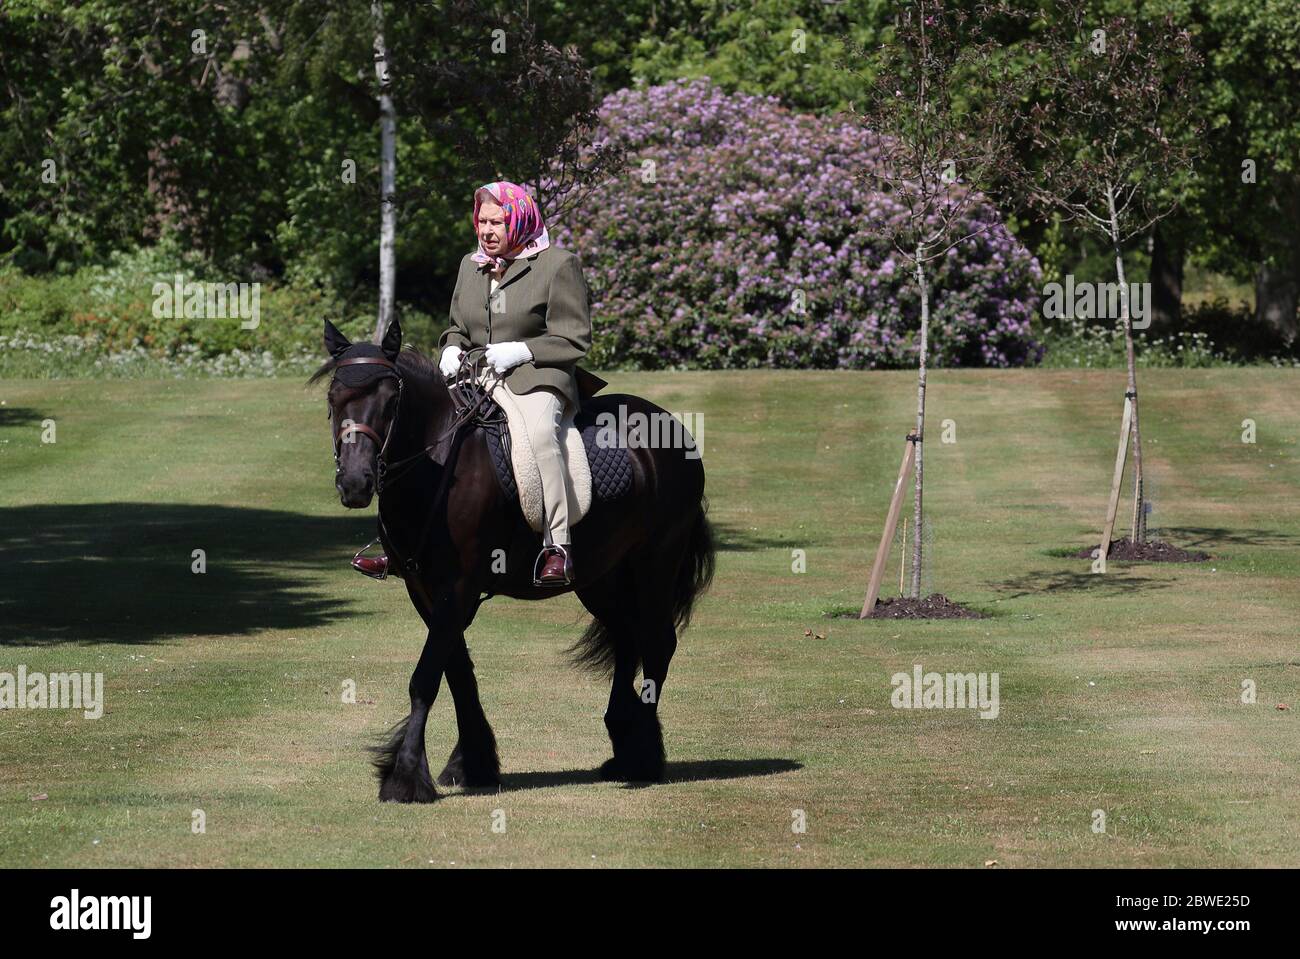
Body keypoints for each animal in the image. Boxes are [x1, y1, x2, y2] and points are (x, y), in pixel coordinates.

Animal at [312, 318, 715, 802]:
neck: (439, 464)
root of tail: (672, 426)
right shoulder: (425, 590)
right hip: (600, 576)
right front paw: (473, 764)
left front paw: (406, 776)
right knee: (626, 638)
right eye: (334, 398)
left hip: (655, 563)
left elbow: (426, 678)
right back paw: (623, 744)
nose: (355, 483)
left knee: (656, 644)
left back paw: (644, 757)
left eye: (391, 401)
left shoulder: (458, 588)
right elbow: (457, 673)